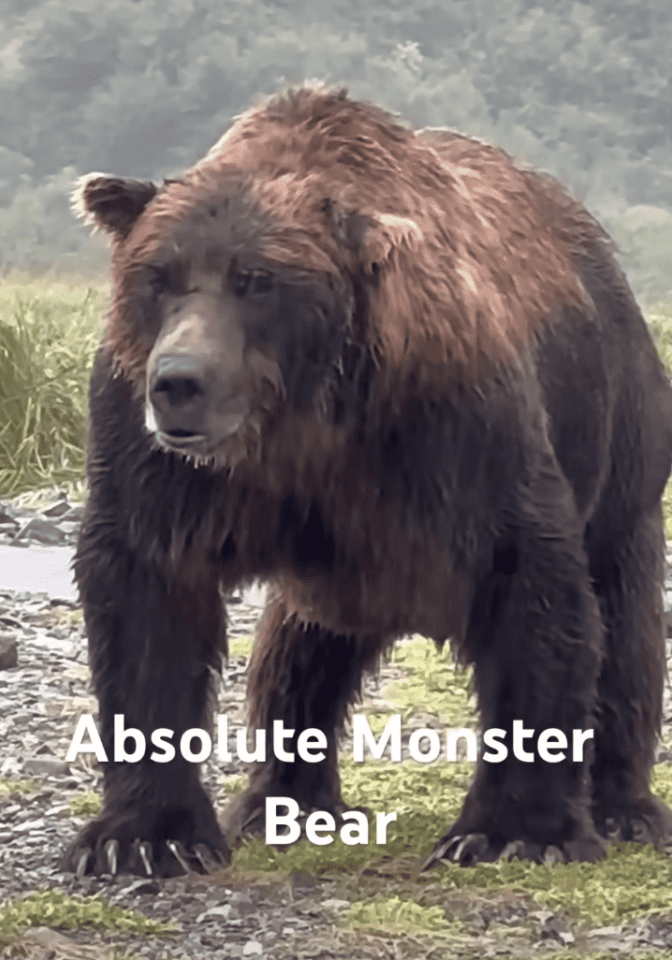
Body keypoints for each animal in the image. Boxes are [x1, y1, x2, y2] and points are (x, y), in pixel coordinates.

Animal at [62, 82, 672, 877]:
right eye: (156, 277)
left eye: (255, 280)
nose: (179, 383)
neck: (299, 424)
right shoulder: (158, 458)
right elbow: (144, 597)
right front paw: (142, 836)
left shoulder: (454, 423)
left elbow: (532, 586)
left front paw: (515, 831)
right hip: (343, 567)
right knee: (300, 650)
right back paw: (283, 800)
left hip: (621, 432)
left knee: (626, 619)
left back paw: (625, 807)